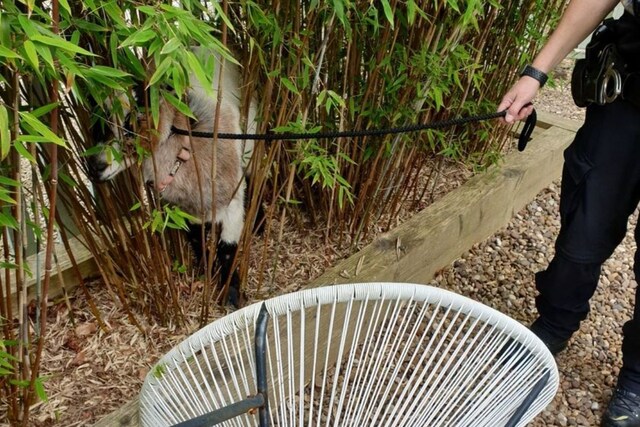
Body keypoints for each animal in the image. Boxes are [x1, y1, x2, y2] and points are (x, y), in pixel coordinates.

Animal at [87, 51, 255, 307]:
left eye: (131, 125)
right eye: (98, 125)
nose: (95, 168)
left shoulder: (233, 203)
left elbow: (227, 249)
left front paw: (231, 294)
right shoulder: (185, 211)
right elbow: (197, 241)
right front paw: (205, 270)